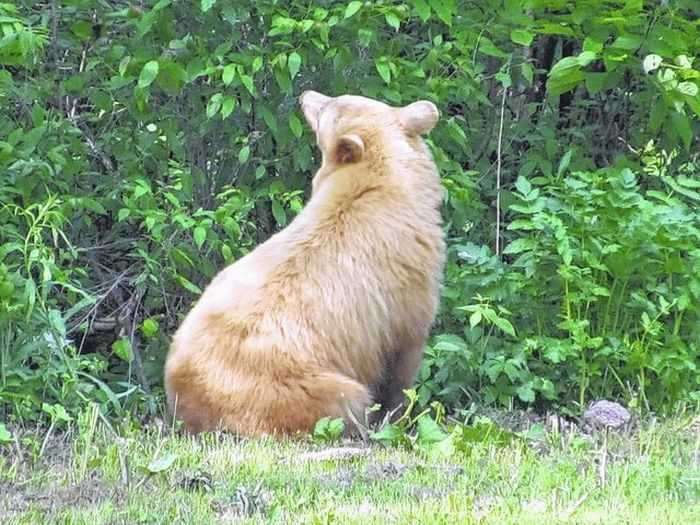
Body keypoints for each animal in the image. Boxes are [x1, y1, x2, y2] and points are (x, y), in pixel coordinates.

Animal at [164, 90, 445, 436]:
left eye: (332, 102)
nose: (307, 95)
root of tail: (186, 396)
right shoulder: (404, 291)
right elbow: (402, 360)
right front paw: (398, 416)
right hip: (294, 388)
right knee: (344, 400)